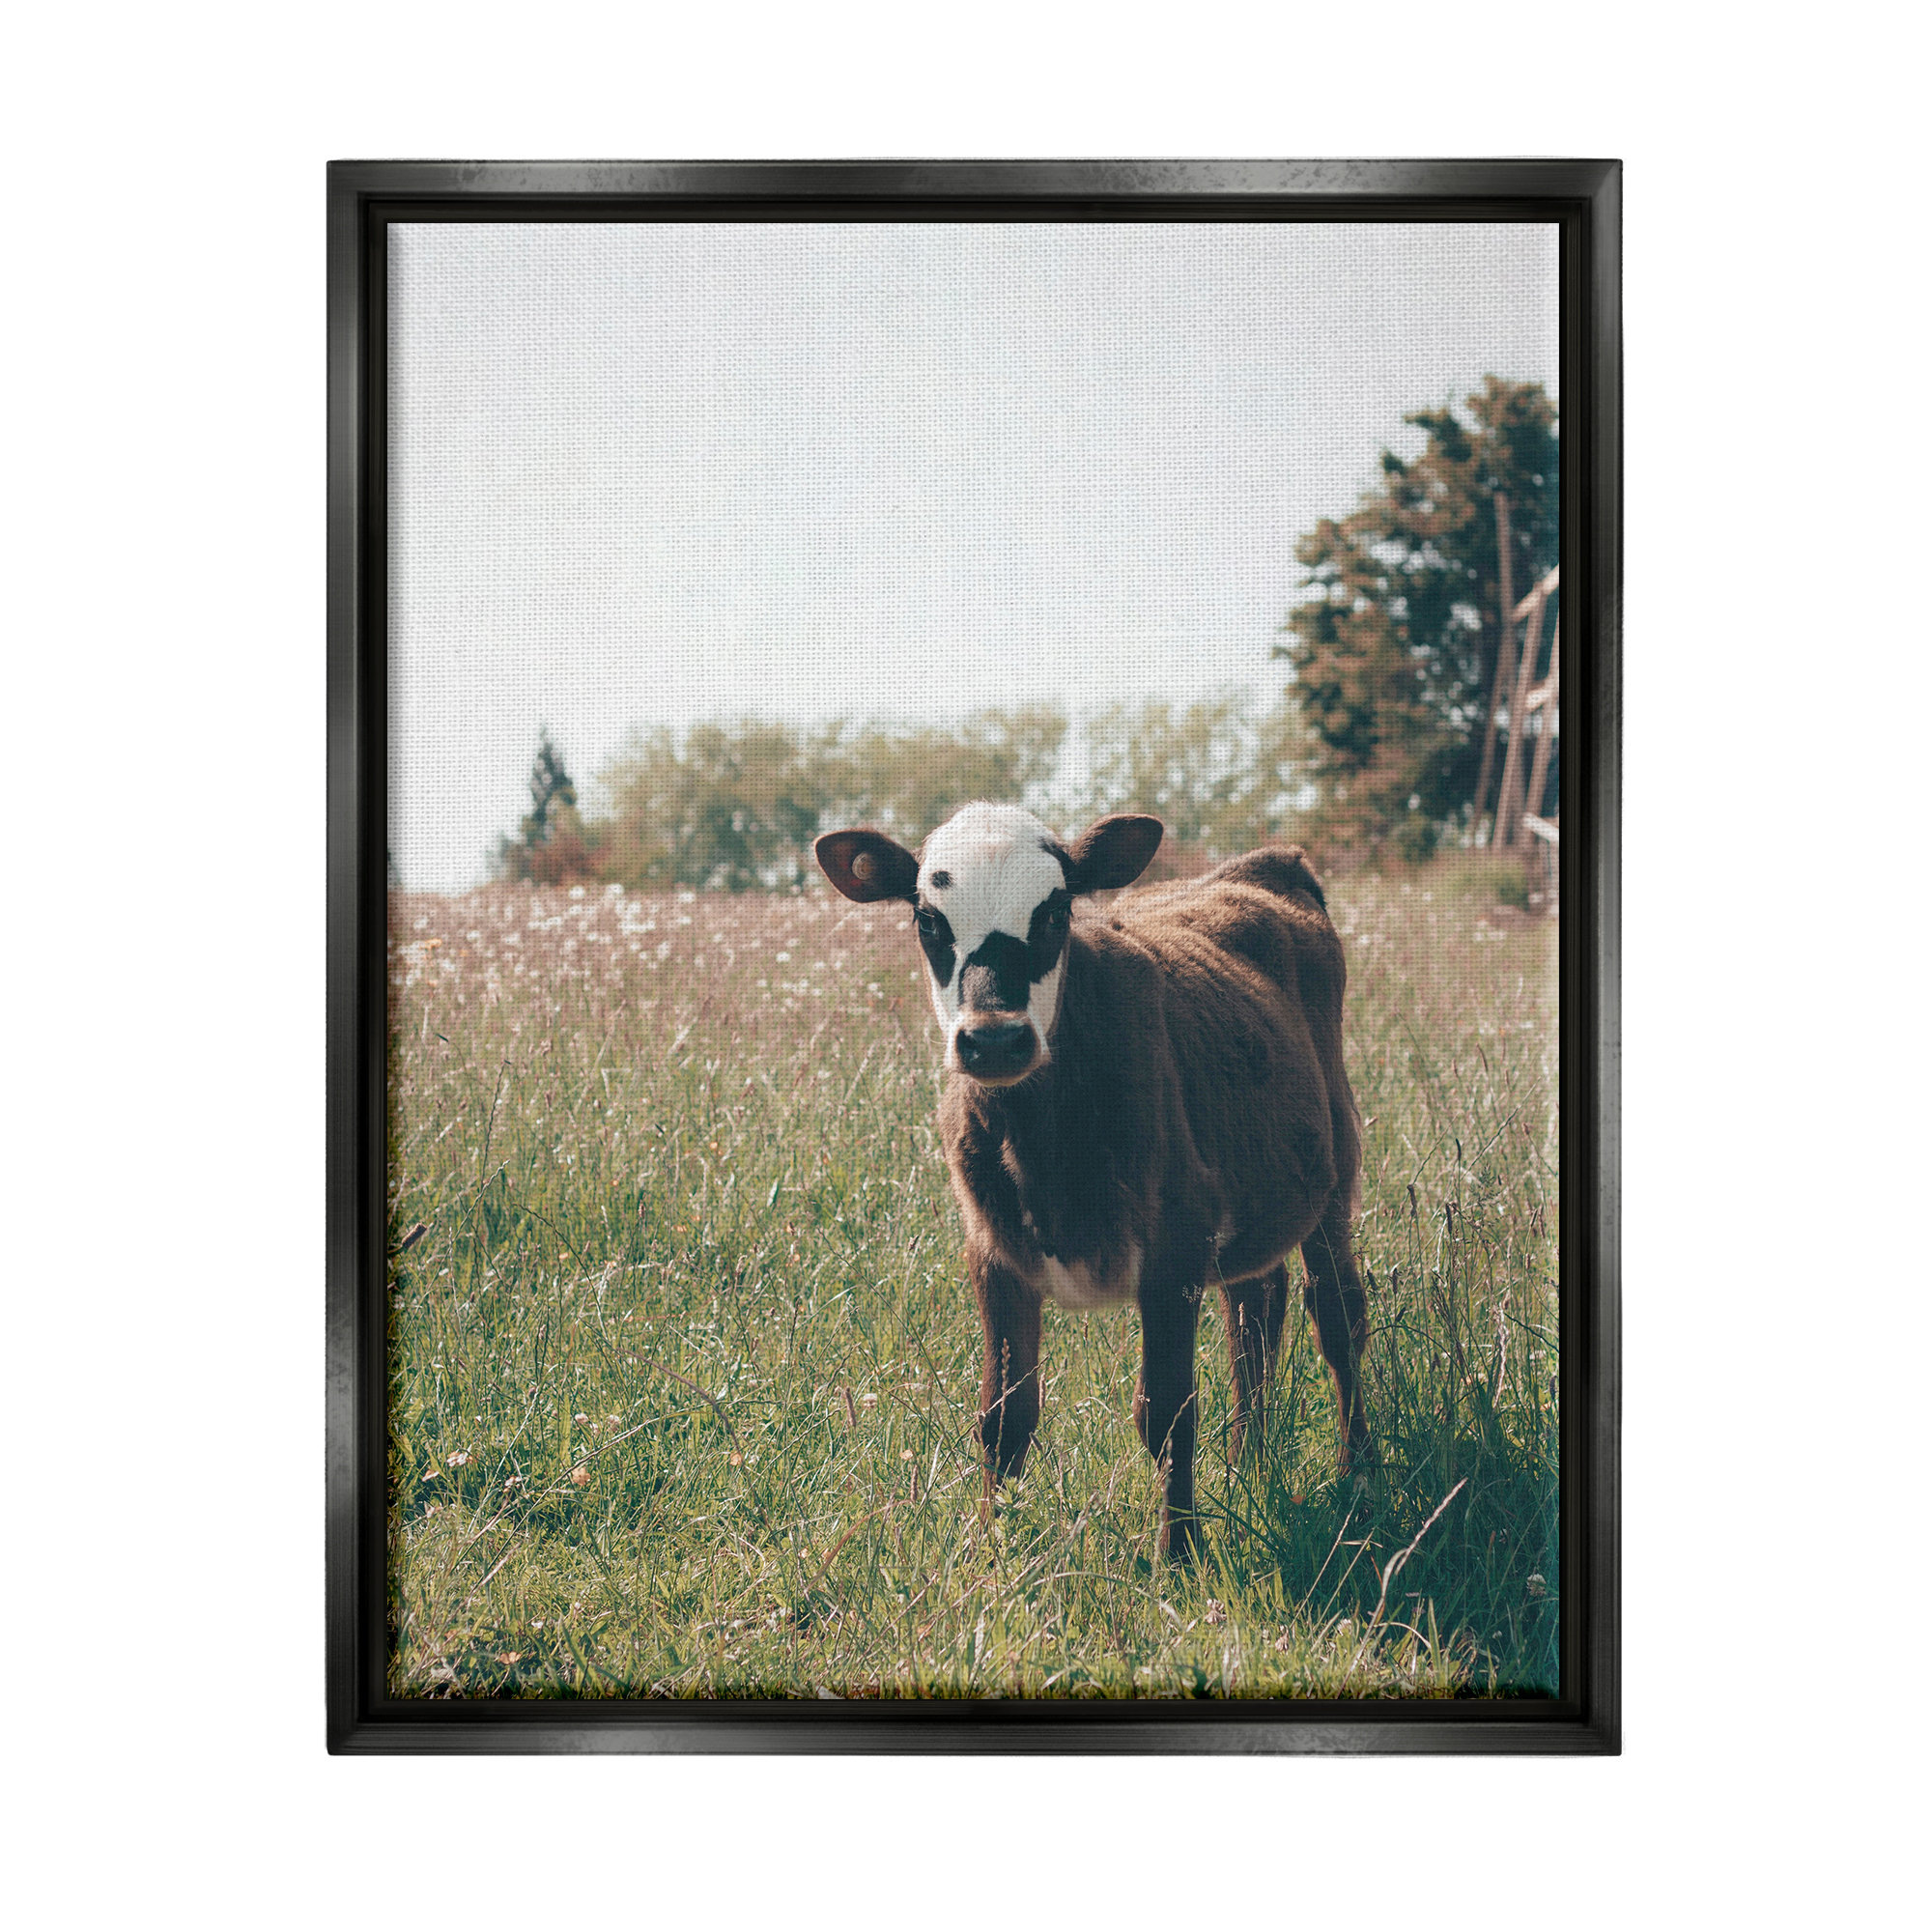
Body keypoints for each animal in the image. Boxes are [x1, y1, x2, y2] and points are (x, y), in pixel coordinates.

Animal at [814, 802, 1369, 1562]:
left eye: (1054, 914)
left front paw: (1178, 1556)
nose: (994, 1040)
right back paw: (1246, 1465)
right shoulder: (994, 1256)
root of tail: (1260, 864)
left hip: (1336, 1168)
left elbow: (1165, 1410)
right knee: (1256, 1307)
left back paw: (1358, 1474)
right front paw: (991, 1550)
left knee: (1337, 1316)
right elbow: (1003, 1415)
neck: (1042, 1147)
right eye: (928, 920)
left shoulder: (1174, 1251)